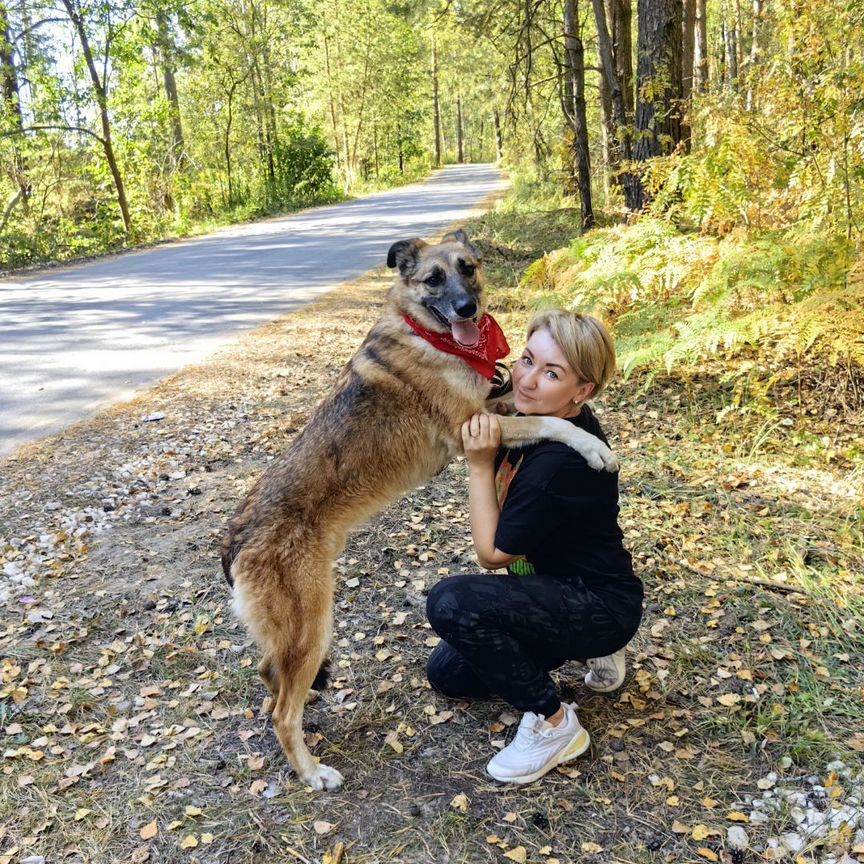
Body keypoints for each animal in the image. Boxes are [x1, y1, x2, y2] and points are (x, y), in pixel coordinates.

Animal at [219, 230, 616, 788]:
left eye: (467, 268)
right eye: (434, 279)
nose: (467, 308)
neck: (429, 335)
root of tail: (237, 536)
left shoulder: (492, 407)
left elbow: (525, 402)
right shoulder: (474, 425)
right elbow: (553, 422)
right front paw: (593, 446)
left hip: (295, 638)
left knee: (270, 678)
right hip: (313, 628)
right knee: (281, 715)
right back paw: (312, 772)